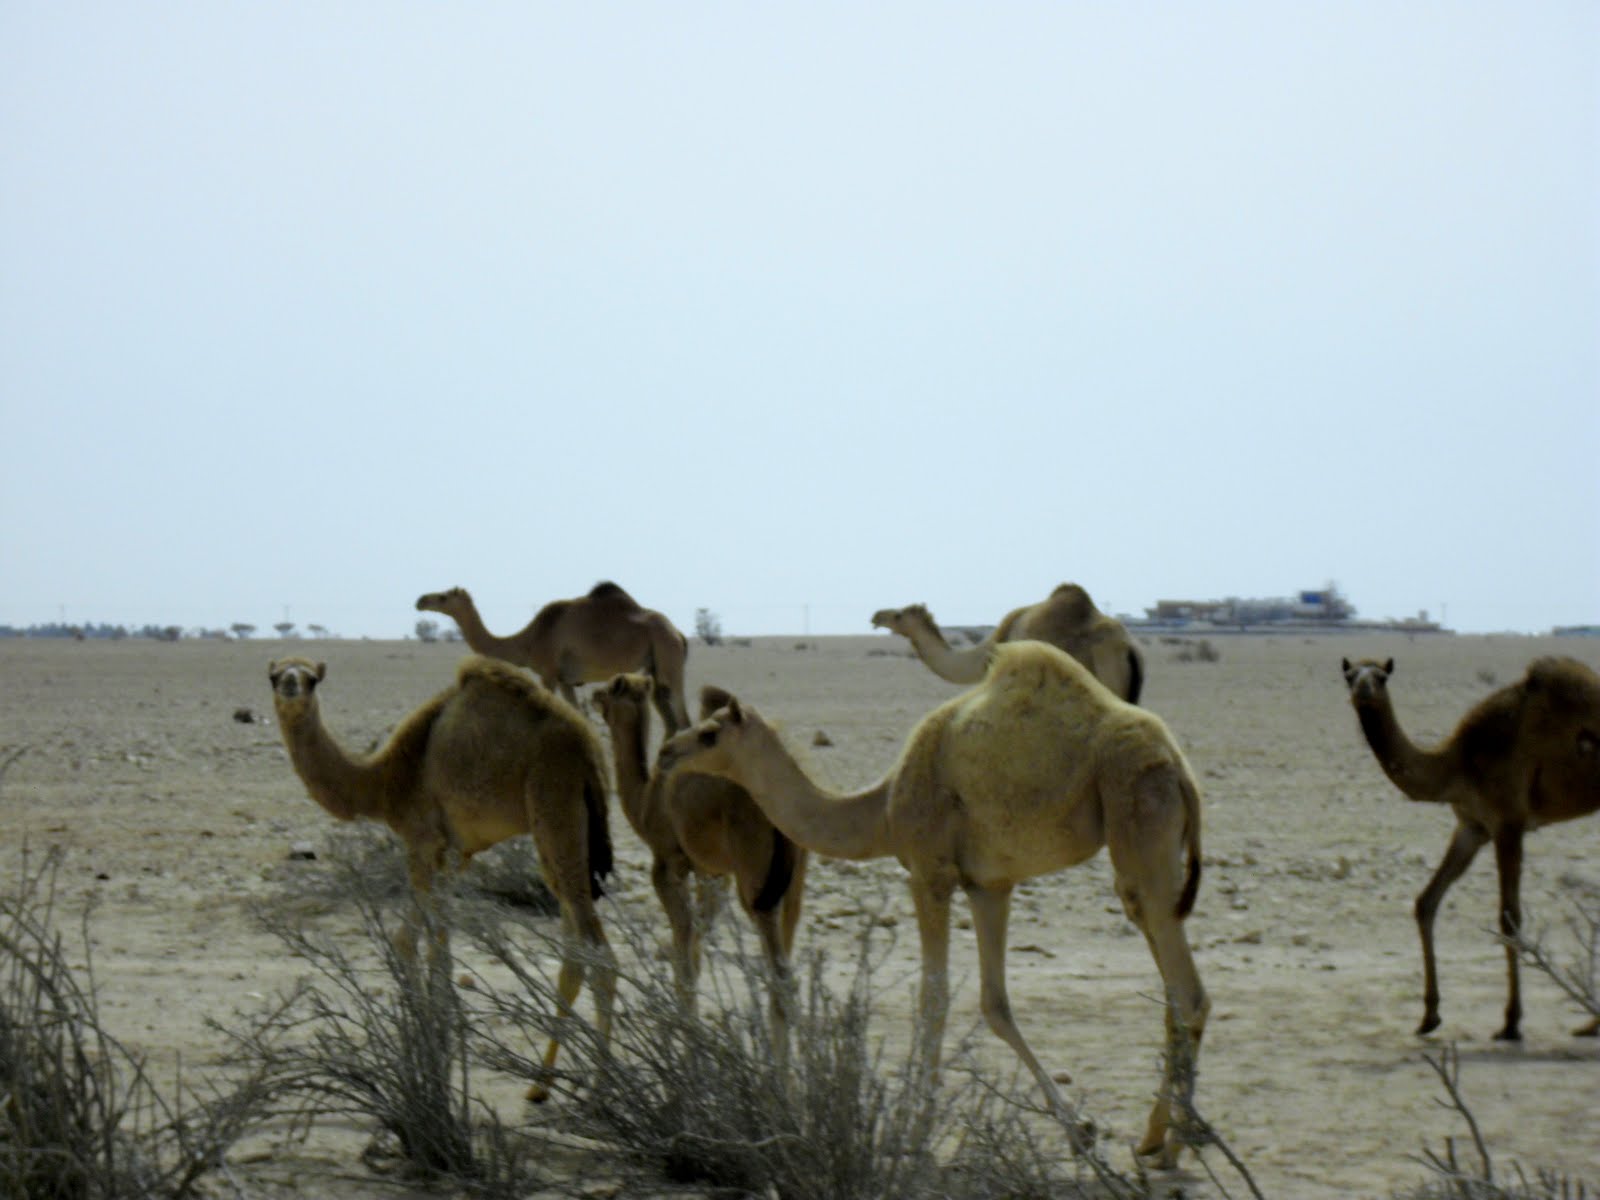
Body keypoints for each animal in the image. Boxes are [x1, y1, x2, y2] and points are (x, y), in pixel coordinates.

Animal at [268, 654, 618, 1100]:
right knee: (574, 958)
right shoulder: (453, 856)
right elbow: (429, 947)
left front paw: (432, 1052)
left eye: (311, 679)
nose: (290, 687)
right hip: (564, 834)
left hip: (555, 806)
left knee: (601, 958)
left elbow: (417, 945)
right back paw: (540, 1085)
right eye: (274, 675)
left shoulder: (420, 841)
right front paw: (438, 1043)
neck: (384, 781)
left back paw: (599, 1090)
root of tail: (589, 748)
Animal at [415, 582, 691, 732]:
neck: (529, 641)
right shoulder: (565, 679)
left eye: (443, 596)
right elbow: (579, 718)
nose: (420, 600)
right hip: (655, 669)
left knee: (684, 719)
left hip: (669, 657)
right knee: (671, 721)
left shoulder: (547, 673)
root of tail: (678, 633)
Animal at [593, 674, 808, 1061]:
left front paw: (686, 1044)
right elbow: (695, 948)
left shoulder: (668, 864)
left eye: (609, 690)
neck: (645, 800)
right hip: (794, 876)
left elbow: (684, 955)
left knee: (780, 974)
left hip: (756, 873)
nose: (591, 694)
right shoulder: (713, 874)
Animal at [657, 640, 1207, 1165]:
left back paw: (1175, 1145)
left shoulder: (929, 874)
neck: (882, 810)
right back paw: (1154, 1138)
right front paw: (1080, 1129)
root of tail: (1181, 769)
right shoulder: (989, 884)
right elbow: (994, 1004)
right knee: (1170, 988)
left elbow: (933, 997)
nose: (665, 752)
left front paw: (914, 1132)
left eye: (710, 733)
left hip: (1138, 816)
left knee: (1188, 993)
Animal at [1342, 655, 1600, 1040]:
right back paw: (1591, 1023)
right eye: (1349, 675)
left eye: (1382, 677)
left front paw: (1511, 1022)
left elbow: (1509, 918)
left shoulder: (1508, 823)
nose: (1364, 690)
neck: (1458, 762)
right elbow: (1426, 902)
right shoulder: (1472, 827)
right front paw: (1429, 1017)